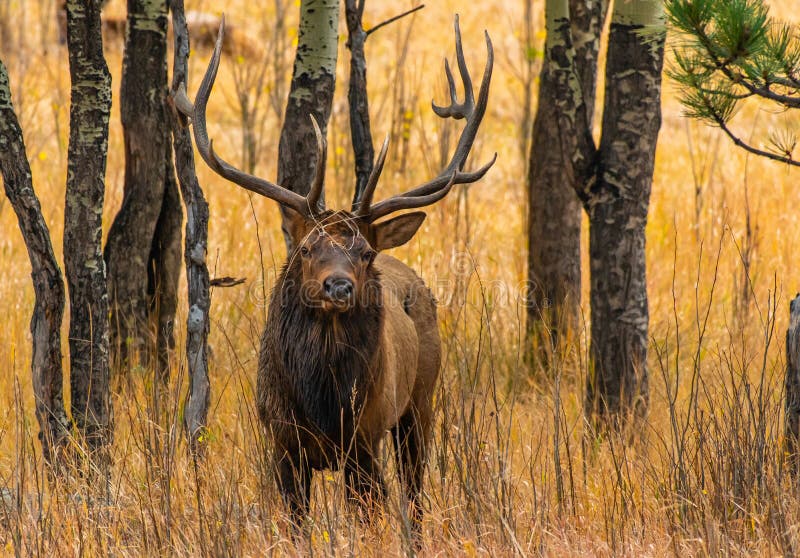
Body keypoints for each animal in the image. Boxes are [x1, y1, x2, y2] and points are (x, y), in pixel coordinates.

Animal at [176, 14, 494, 533]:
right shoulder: (282, 442)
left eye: (364, 252)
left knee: (415, 494)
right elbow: (295, 523)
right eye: (307, 248)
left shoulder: (364, 439)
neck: (322, 406)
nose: (338, 285)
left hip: (420, 403)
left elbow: (370, 513)